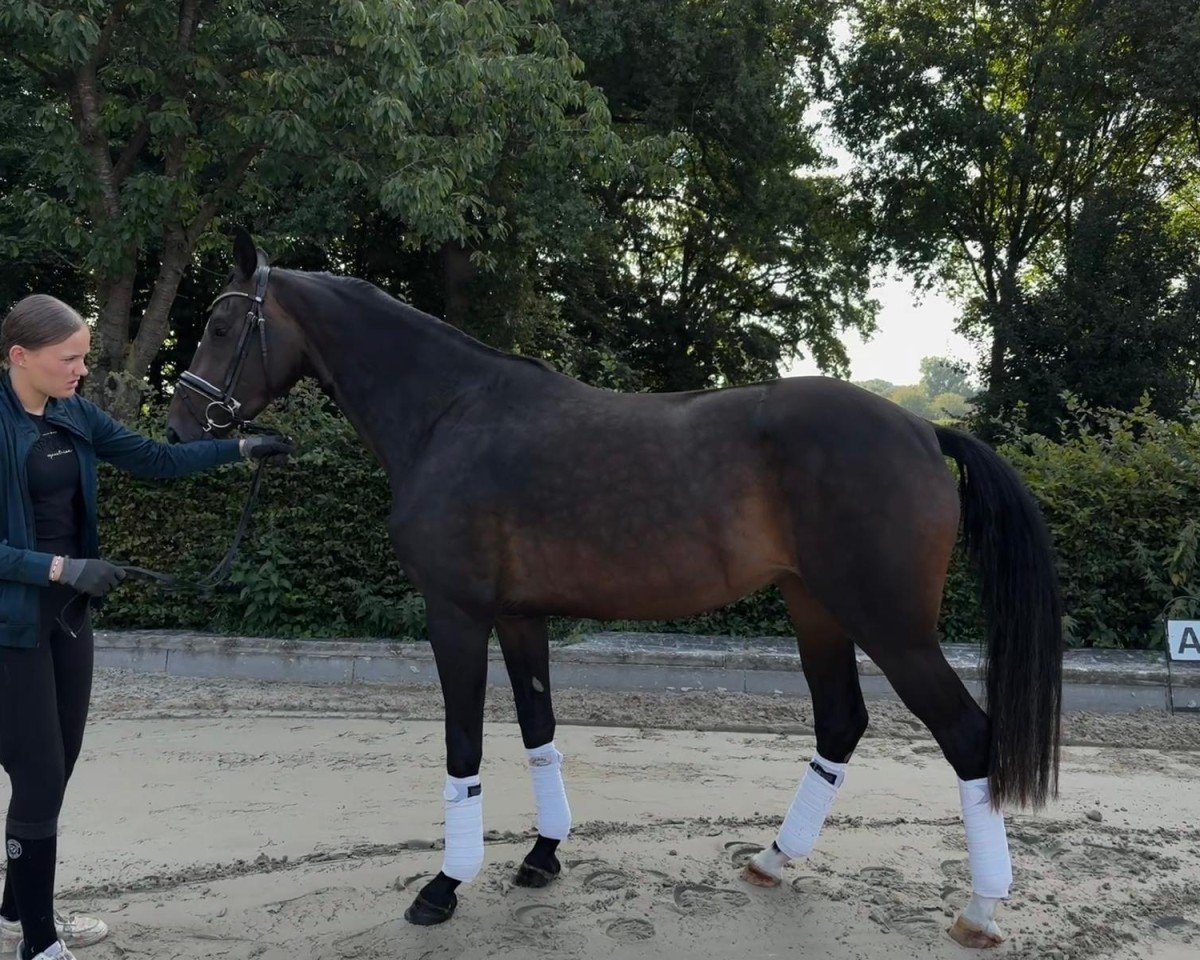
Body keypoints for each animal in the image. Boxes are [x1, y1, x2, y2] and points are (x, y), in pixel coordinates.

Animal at [166, 230, 1062, 948]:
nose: (177, 427)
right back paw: (774, 859)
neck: (449, 414)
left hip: (891, 625)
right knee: (841, 722)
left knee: (967, 737)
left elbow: (463, 744)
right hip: (816, 608)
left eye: (220, 326)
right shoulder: (519, 616)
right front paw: (542, 854)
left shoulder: (454, 614)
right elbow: (537, 728)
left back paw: (980, 910)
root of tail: (924, 428)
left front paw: (444, 885)